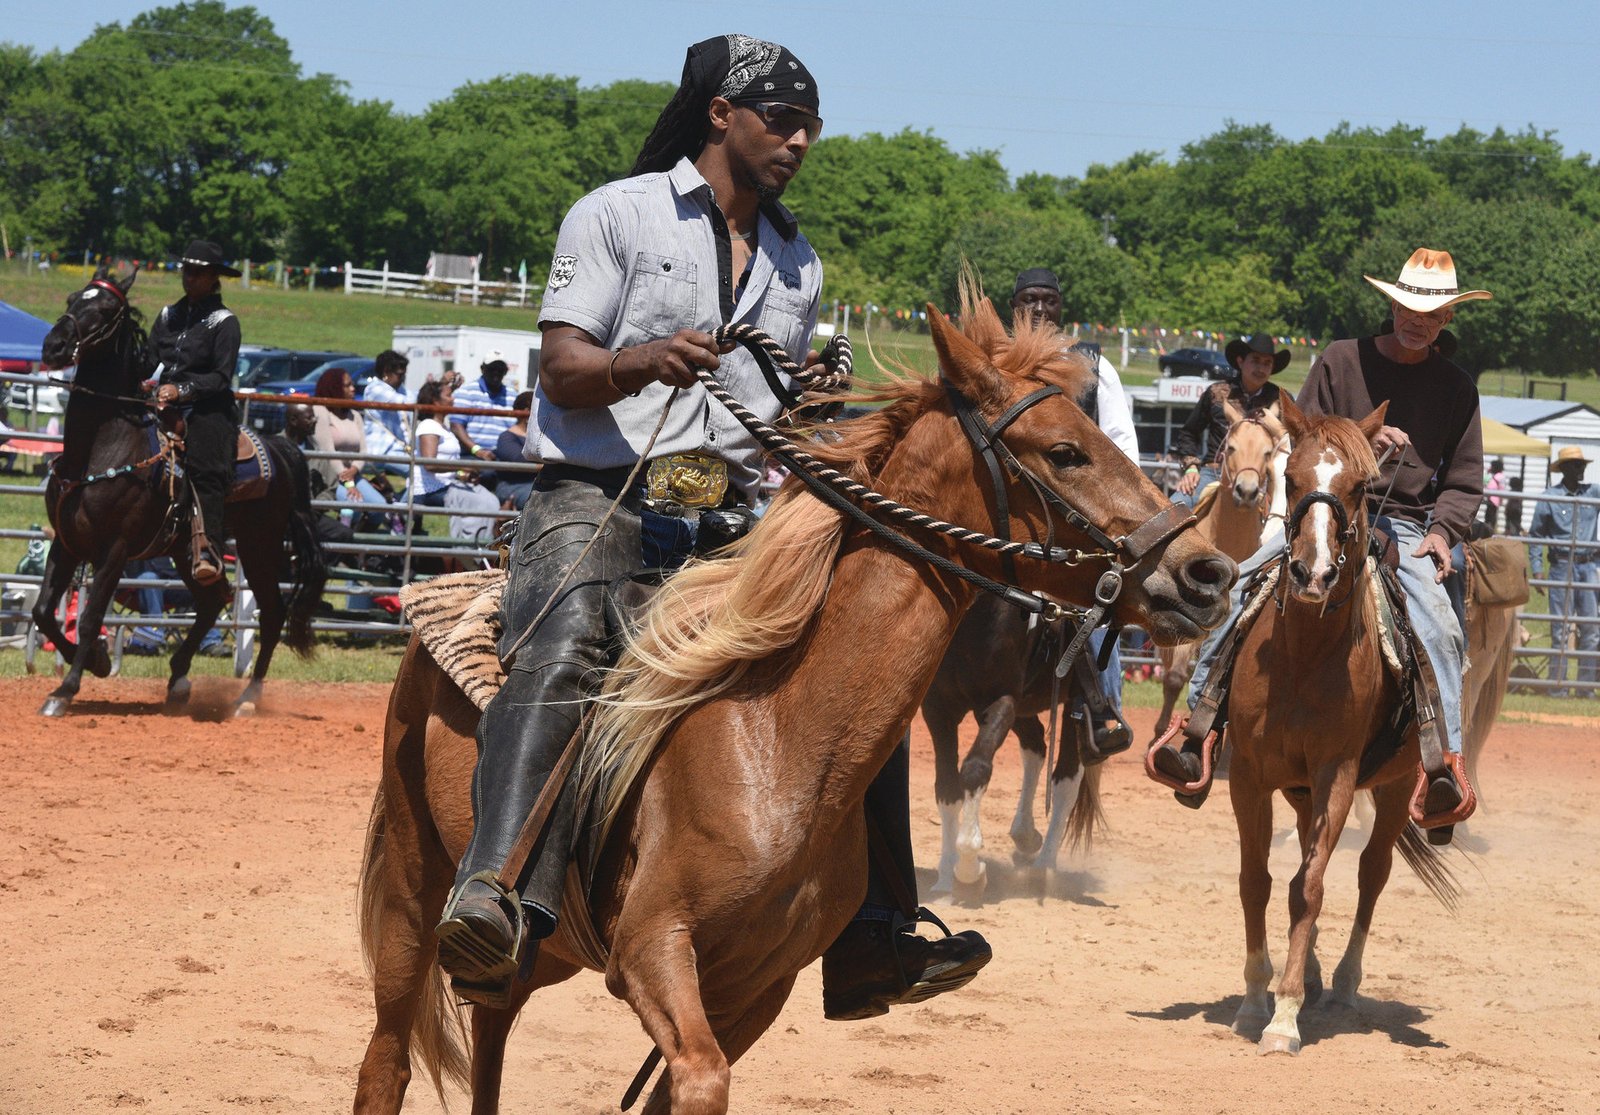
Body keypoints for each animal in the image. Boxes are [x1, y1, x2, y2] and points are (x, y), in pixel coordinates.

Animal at [32, 262, 323, 713]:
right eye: (72, 299)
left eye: (107, 309)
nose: (55, 345)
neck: (102, 449)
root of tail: (278, 449)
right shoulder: (67, 542)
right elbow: (44, 611)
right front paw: (98, 660)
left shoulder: (114, 549)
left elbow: (91, 616)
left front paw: (66, 689)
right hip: (190, 550)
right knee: (212, 600)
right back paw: (179, 680)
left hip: (259, 545)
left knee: (271, 612)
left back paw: (247, 698)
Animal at [353, 297, 1235, 1113]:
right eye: (1064, 451)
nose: (1207, 569)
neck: (777, 741)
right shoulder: (651, 948)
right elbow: (699, 1076)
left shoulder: (756, 987)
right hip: (411, 897)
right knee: (387, 1061)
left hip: (542, 955)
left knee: (491, 1030)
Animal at [1216, 395, 1459, 1055]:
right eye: (1292, 477)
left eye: (1358, 487)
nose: (1314, 575)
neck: (1302, 656)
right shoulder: (1248, 775)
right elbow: (1256, 881)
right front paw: (1256, 999)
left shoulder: (1338, 775)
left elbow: (1311, 886)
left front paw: (1284, 1017)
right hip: (1299, 791)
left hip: (1396, 787)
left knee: (1371, 873)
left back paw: (1343, 984)